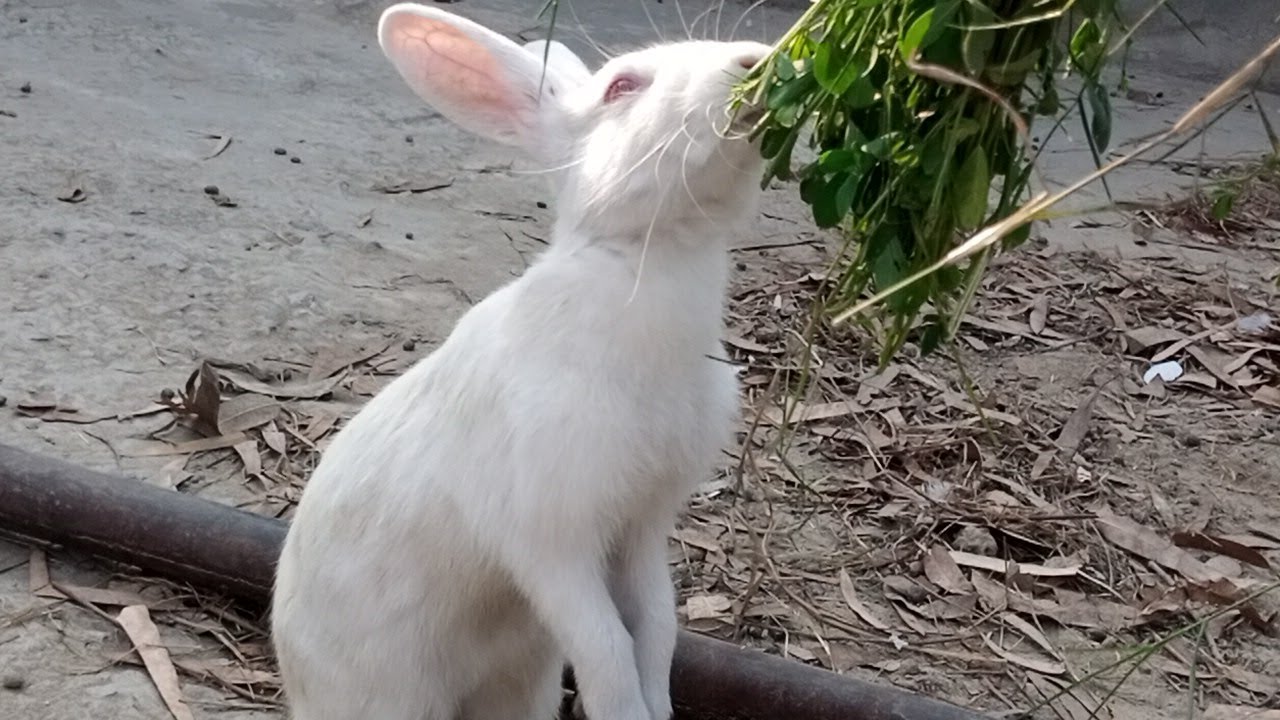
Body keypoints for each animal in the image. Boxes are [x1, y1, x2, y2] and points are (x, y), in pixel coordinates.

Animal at [271, 4, 771, 720]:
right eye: (622, 86)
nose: (755, 63)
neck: (651, 259)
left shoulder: (643, 528)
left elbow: (657, 628)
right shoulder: (552, 545)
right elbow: (609, 650)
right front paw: (626, 711)